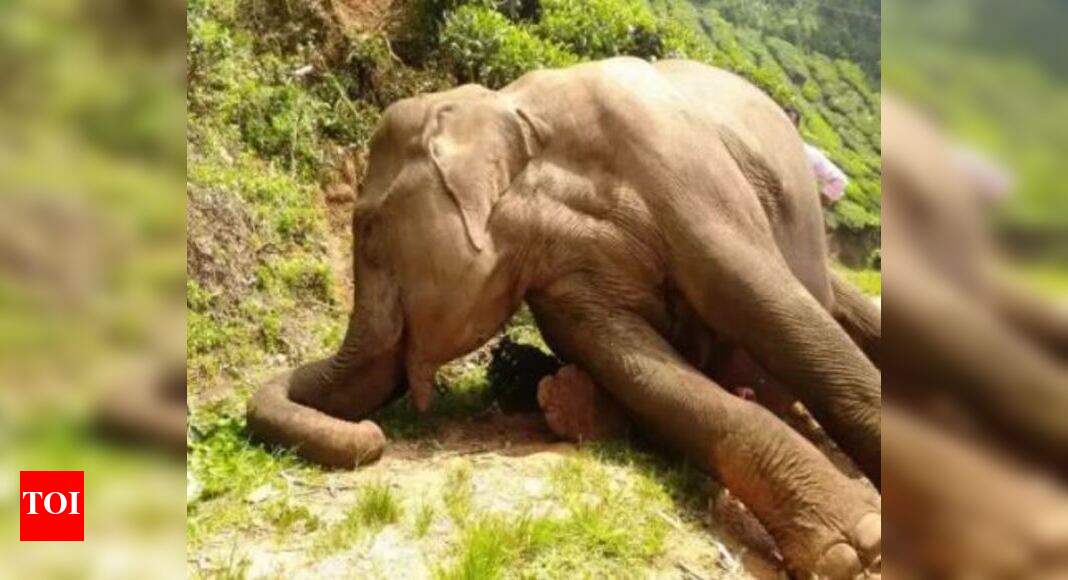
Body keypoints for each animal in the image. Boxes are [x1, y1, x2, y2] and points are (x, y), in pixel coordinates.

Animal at [247, 57, 882, 578]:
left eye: (370, 230)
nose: (372, 437)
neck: (507, 107)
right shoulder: (560, 275)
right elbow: (641, 370)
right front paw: (847, 544)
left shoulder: (680, 169)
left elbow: (766, 303)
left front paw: (870, 535)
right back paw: (566, 403)